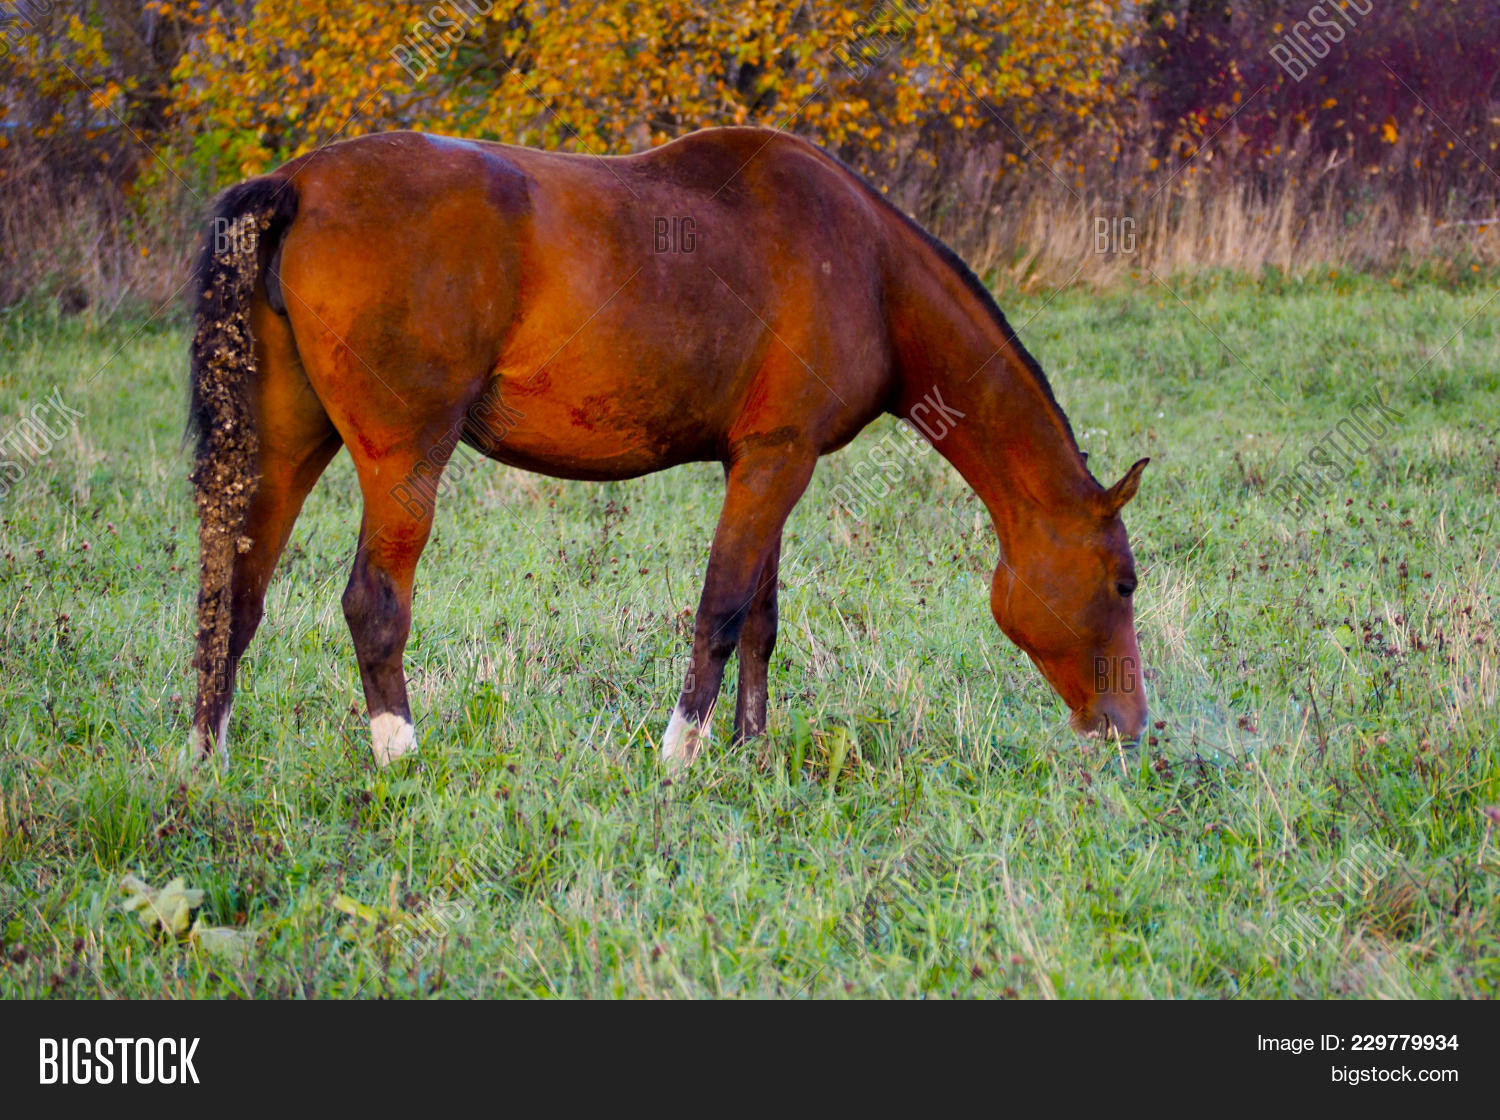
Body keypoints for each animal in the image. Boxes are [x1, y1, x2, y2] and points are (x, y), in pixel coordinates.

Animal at [186, 127, 1149, 768]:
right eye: (1123, 583)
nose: (1131, 726)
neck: (869, 272)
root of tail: (296, 184)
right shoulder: (776, 460)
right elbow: (721, 612)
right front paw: (680, 755)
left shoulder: (762, 463)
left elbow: (759, 619)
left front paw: (751, 750)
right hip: (405, 459)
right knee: (372, 603)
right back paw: (401, 756)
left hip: (287, 446)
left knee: (236, 596)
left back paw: (208, 758)